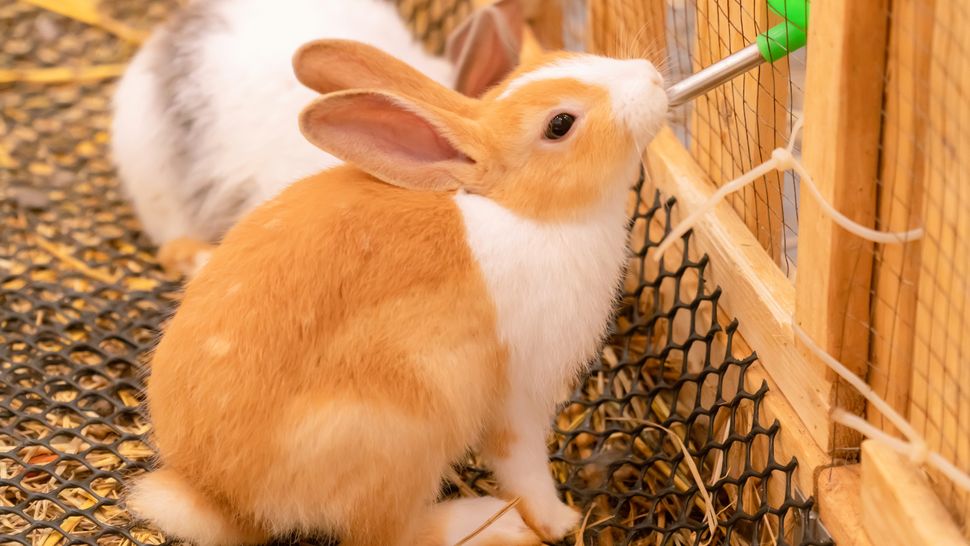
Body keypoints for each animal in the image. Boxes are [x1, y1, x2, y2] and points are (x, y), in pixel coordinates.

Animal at [125, 37, 668, 546]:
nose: (651, 78)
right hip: (401, 429)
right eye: (560, 124)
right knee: (389, 533)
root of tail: (213, 494)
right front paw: (558, 520)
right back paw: (492, 525)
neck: (526, 211)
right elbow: (524, 467)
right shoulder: (519, 396)